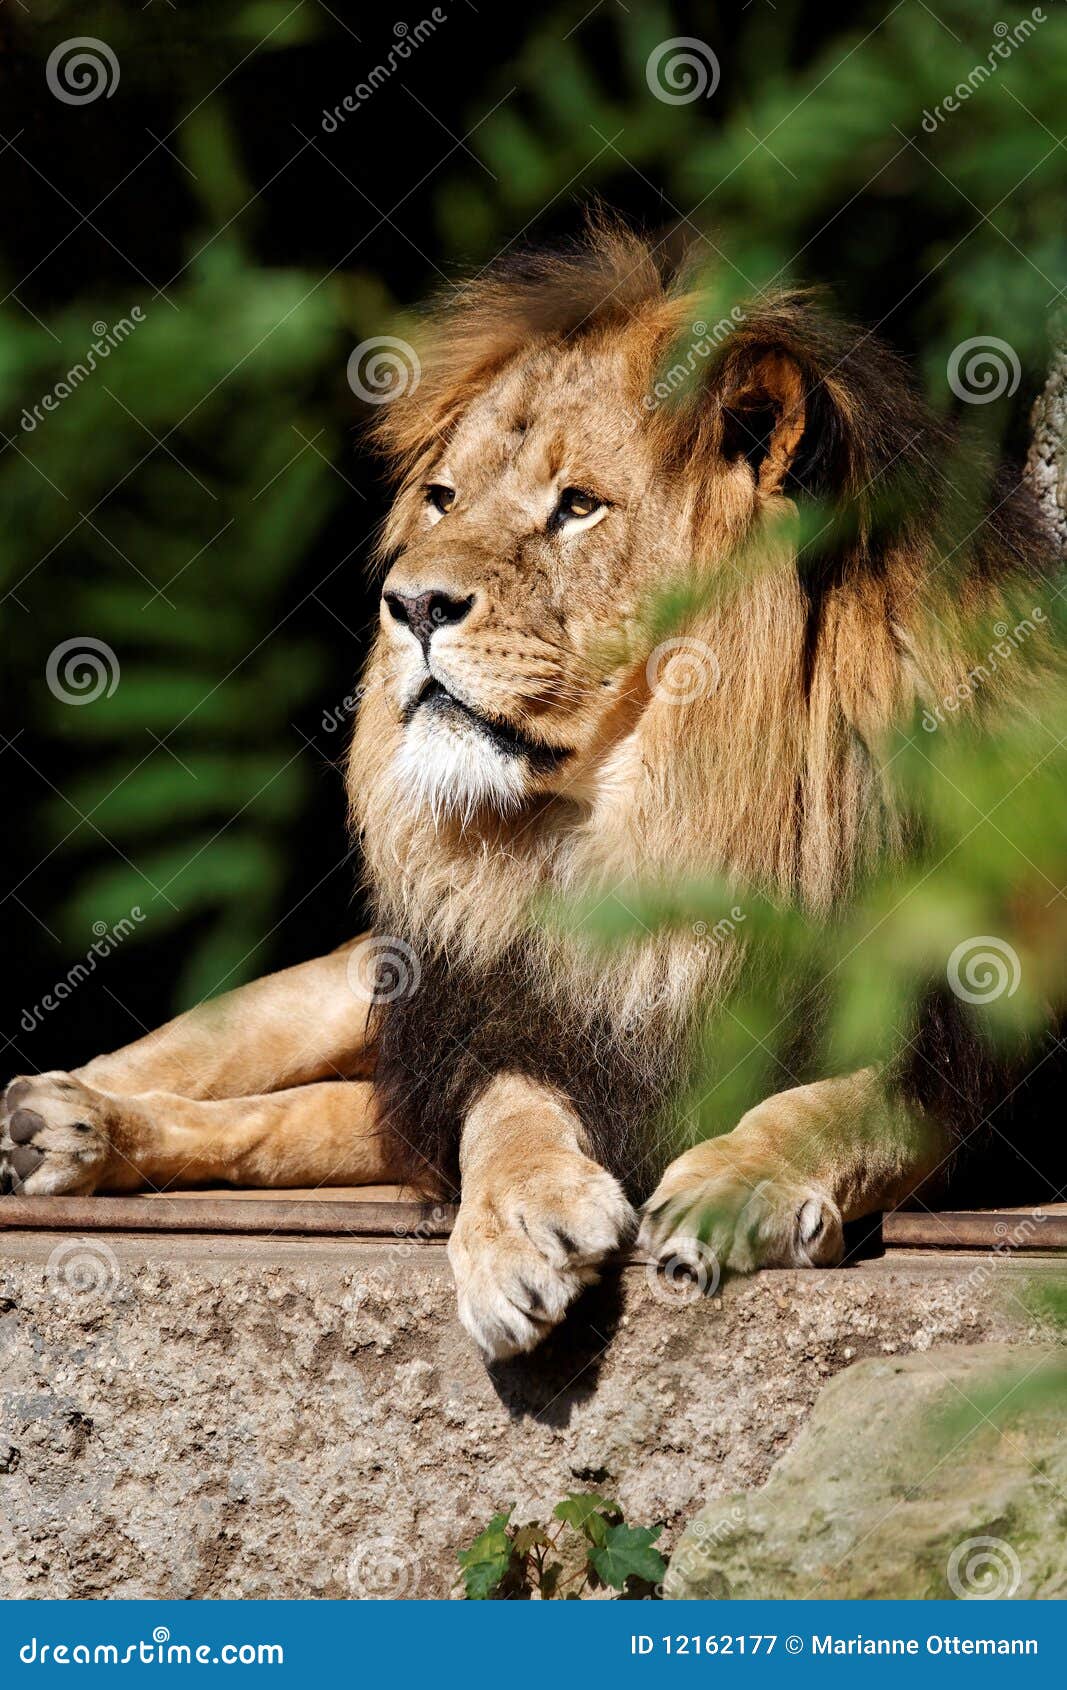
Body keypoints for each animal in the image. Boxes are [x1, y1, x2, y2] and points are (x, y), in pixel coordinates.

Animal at [3, 220, 1063, 1362]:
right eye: (443, 500)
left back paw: (71, 1134)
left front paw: (733, 1185)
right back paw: (58, 1116)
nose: (410, 604)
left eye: (578, 507)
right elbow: (503, 1110)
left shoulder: (975, 1040)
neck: (644, 828)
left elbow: (852, 1104)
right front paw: (518, 1221)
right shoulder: (501, 1024)